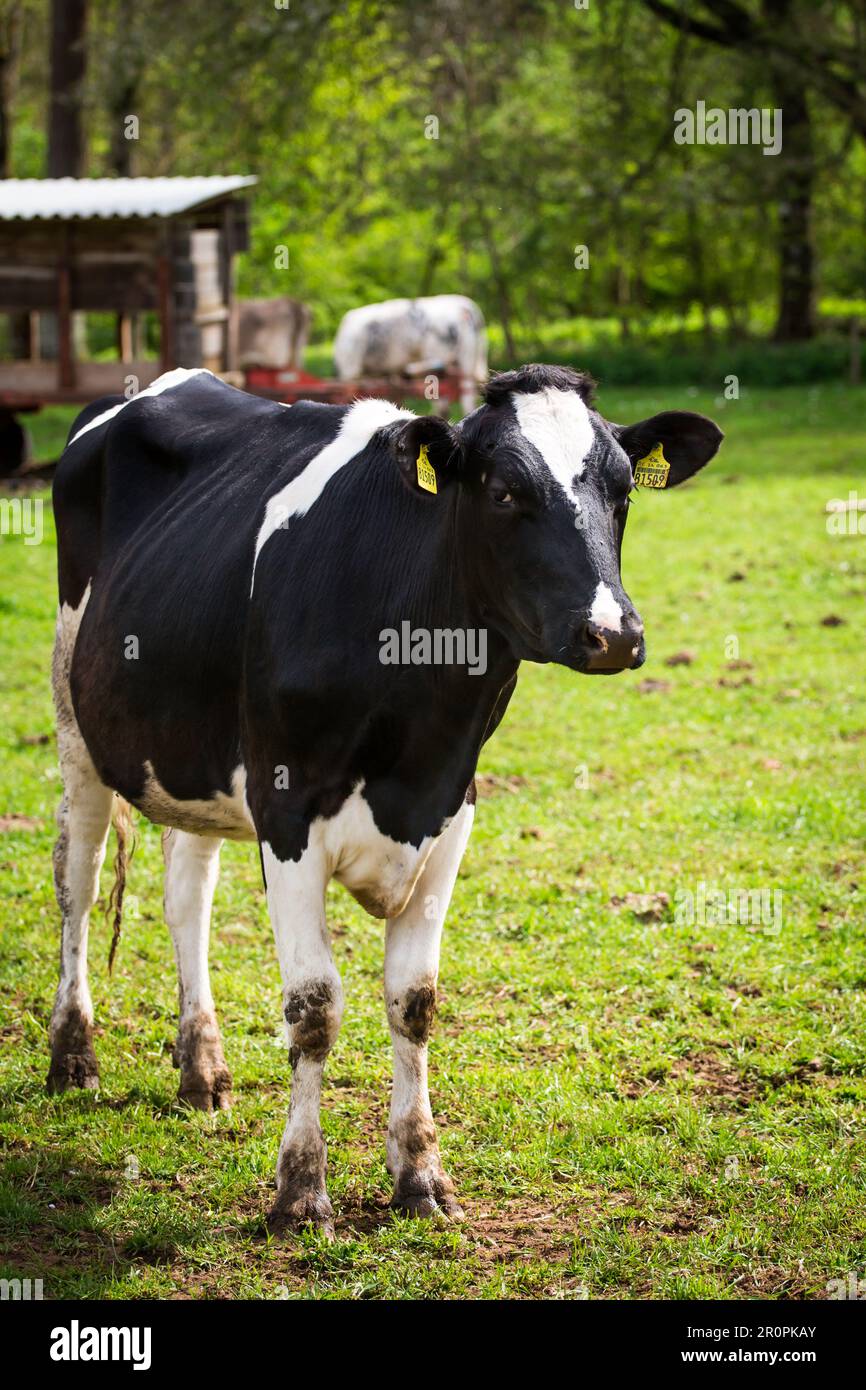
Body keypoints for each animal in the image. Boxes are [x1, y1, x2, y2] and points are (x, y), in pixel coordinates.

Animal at [48, 362, 721, 1237]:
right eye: (504, 490)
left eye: (623, 492)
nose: (615, 635)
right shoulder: (287, 811)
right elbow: (314, 1009)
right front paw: (301, 1192)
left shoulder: (451, 809)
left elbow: (415, 1003)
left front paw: (421, 1177)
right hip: (76, 725)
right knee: (79, 879)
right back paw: (73, 1055)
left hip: (194, 750)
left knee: (186, 894)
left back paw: (202, 1068)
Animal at [333, 294, 487, 413]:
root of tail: (464, 307)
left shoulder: (350, 369)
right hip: (468, 361)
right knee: (467, 399)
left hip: (439, 359)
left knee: (444, 404)